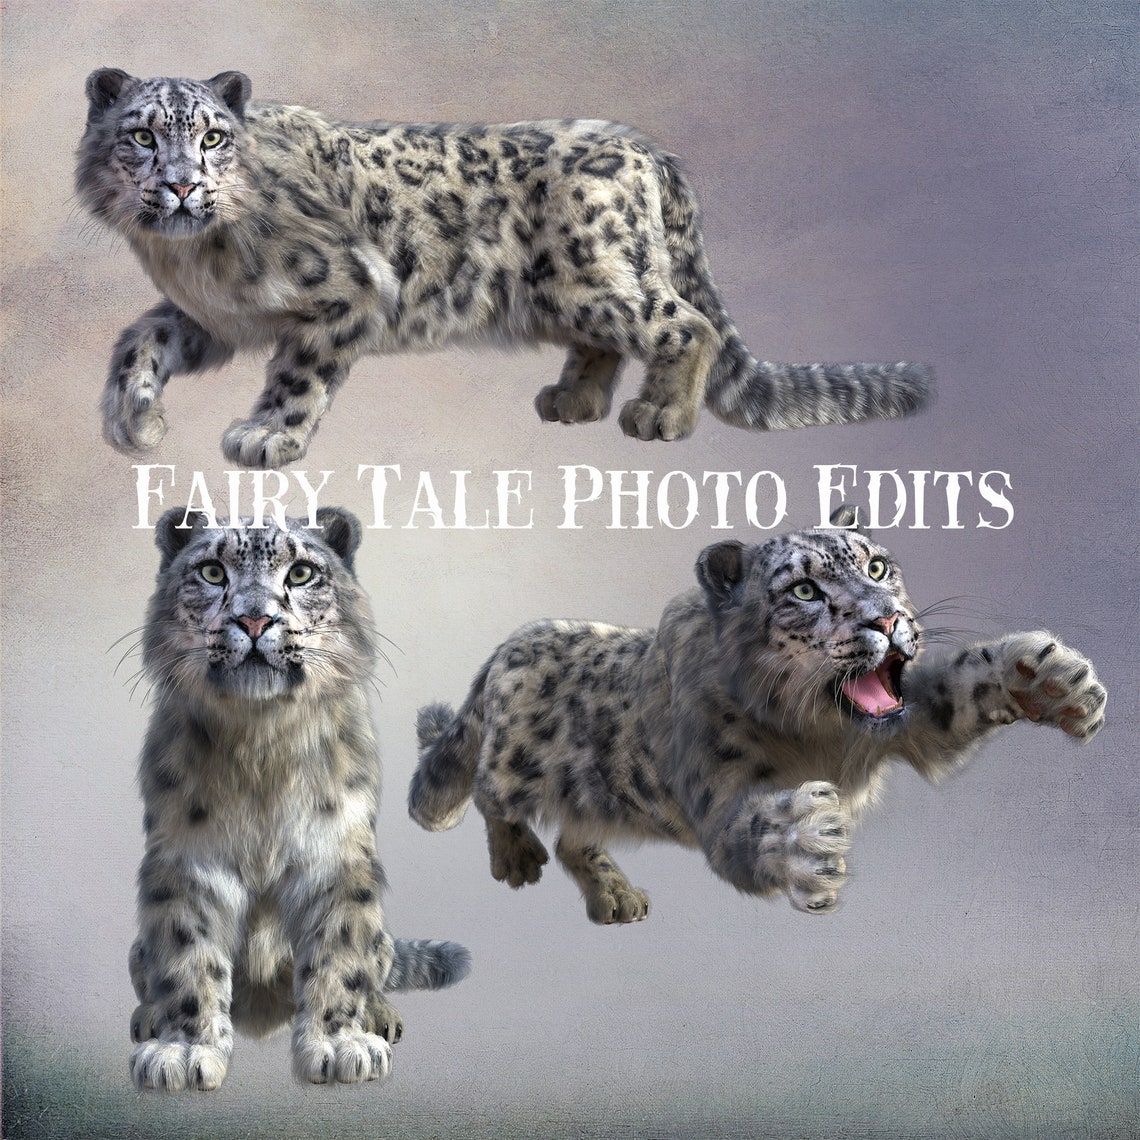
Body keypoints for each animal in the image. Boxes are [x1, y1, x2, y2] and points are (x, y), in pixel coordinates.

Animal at [77, 68, 933, 468]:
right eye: (143, 136)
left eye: (213, 137)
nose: (182, 184)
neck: (189, 258)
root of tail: (642, 143)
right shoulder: (211, 317)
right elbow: (138, 339)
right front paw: (134, 420)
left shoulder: (346, 289)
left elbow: (297, 373)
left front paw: (263, 436)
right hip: (569, 291)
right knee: (611, 339)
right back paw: (572, 400)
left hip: (597, 274)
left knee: (684, 322)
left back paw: (660, 415)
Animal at [126, 505, 469, 1091]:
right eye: (212, 571)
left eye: (302, 573)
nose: (254, 621)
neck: (262, 747)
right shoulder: (186, 857)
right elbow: (189, 956)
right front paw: (183, 1053)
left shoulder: (337, 853)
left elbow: (339, 951)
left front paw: (341, 1047)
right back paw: (148, 1018)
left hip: (381, 936)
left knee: (375, 963)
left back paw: (381, 1016)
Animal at [408, 508, 1107, 924]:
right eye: (804, 590)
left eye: (878, 565)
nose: (885, 618)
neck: (822, 735)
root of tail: (506, 646)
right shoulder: (720, 795)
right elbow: (751, 827)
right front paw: (809, 838)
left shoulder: (913, 719)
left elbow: (957, 684)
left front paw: (1050, 677)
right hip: (514, 759)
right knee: (489, 791)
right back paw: (517, 856)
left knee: (574, 836)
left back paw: (616, 896)